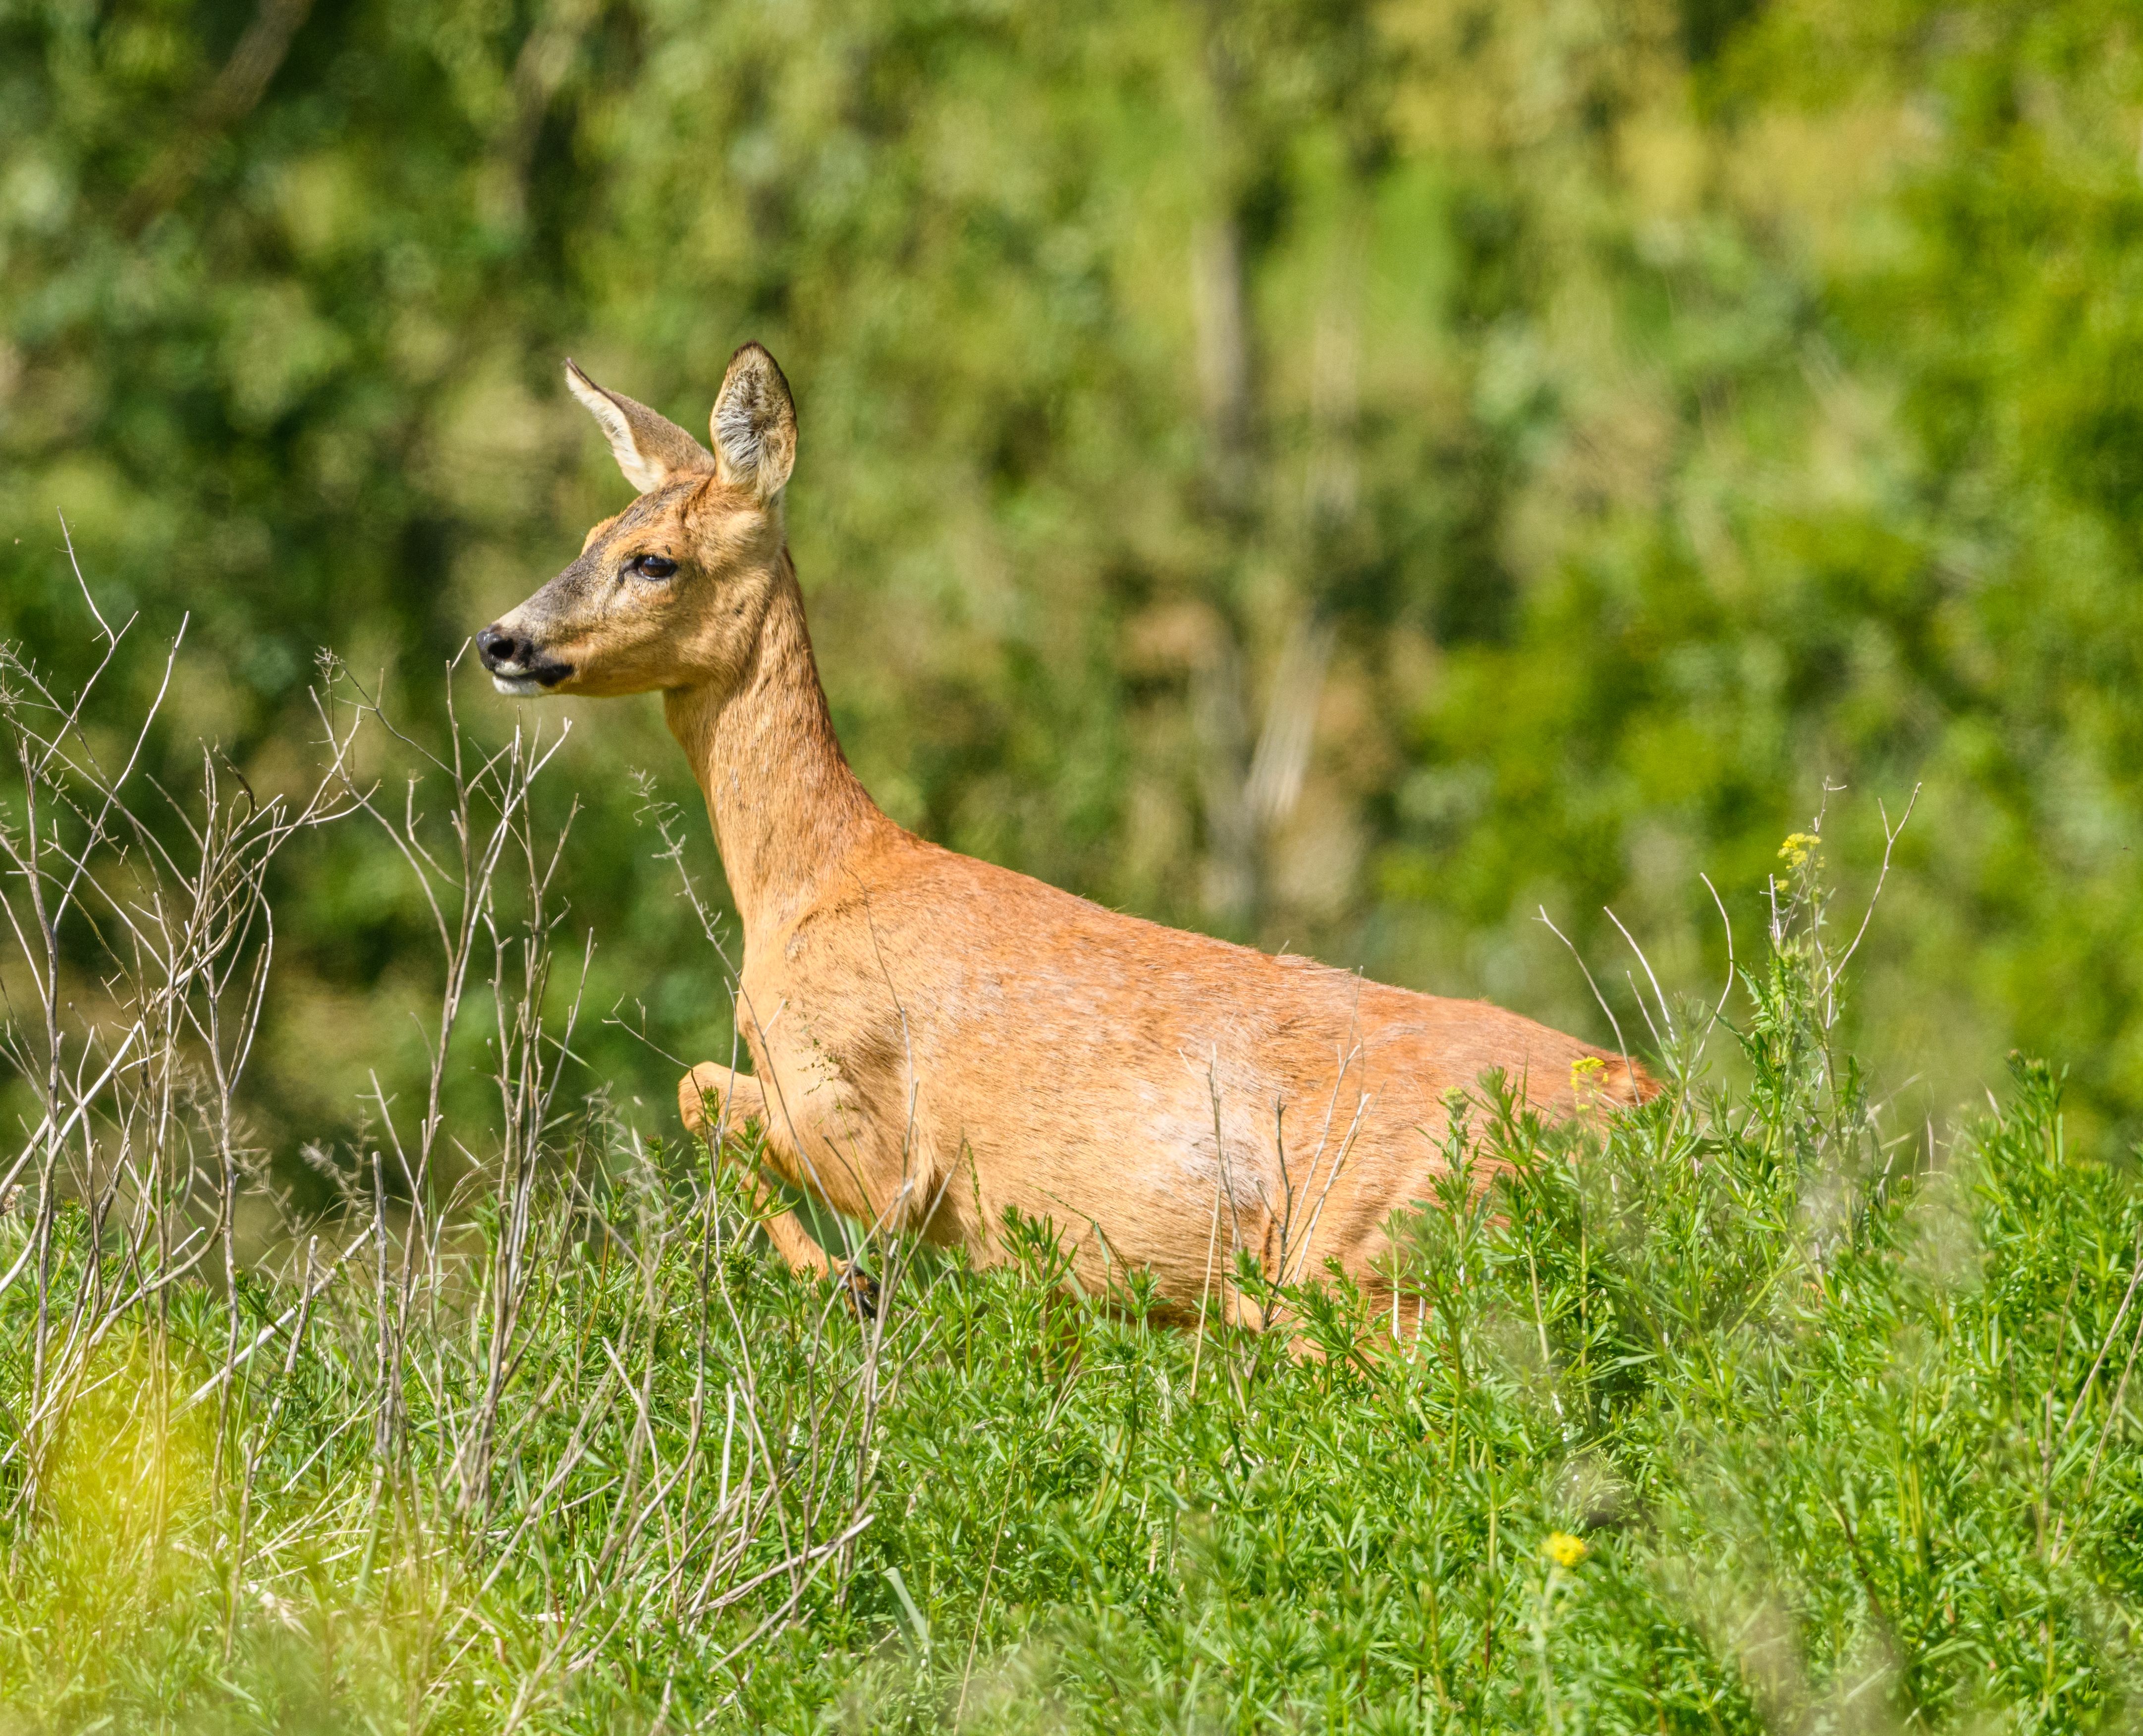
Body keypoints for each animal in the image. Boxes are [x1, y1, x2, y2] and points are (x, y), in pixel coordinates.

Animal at [476, 342, 1652, 1331]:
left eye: (654, 560)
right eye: (587, 540)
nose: (501, 639)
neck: (813, 884)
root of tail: (1647, 1104)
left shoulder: (876, 1131)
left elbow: (699, 1098)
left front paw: (843, 1280)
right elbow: (695, 1094)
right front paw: (841, 1280)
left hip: (1364, 1262)